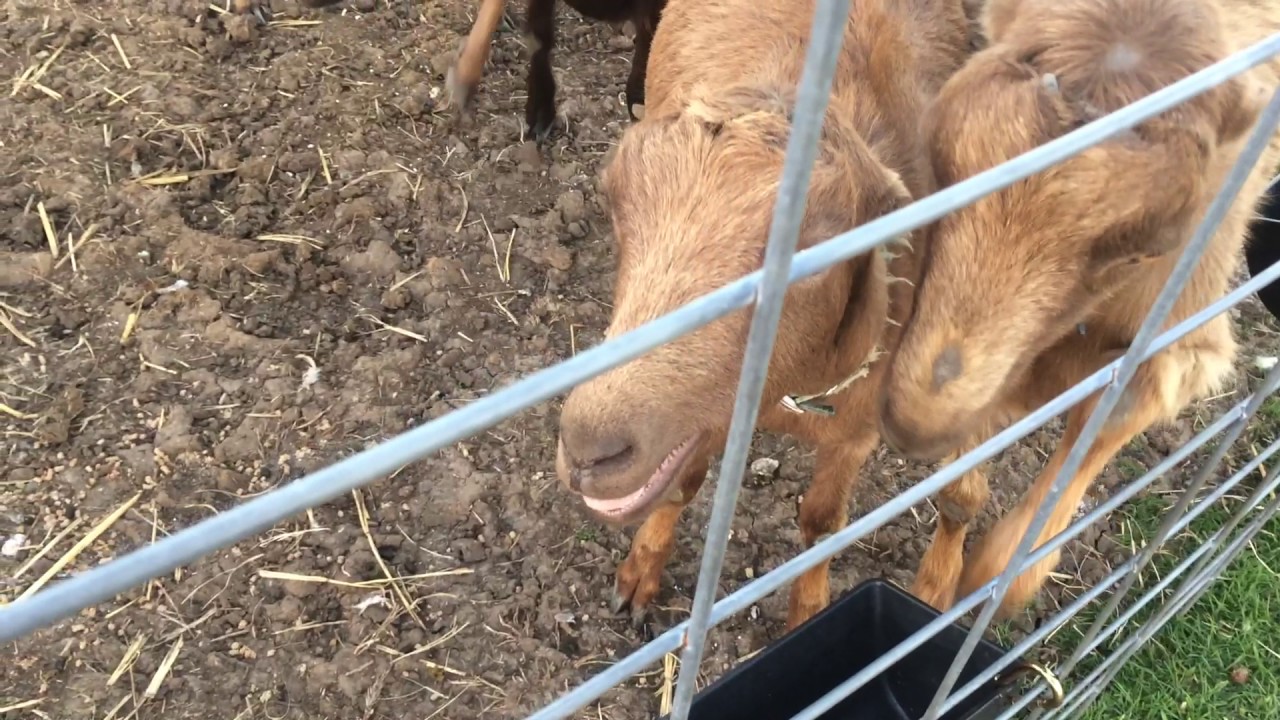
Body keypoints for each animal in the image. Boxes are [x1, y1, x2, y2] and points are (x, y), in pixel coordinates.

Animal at [553, 0, 970, 630]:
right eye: (611, 198)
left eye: (818, 248)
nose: (589, 452)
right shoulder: (704, 412)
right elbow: (682, 483)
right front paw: (641, 571)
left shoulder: (855, 429)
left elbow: (821, 523)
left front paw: (809, 616)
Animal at [879, 0, 1280, 618]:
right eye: (940, 162)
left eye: (1144, 250)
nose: (913, 427)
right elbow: (960, 488)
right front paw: (934, 592)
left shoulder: (1188, 336)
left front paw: (995, 582)